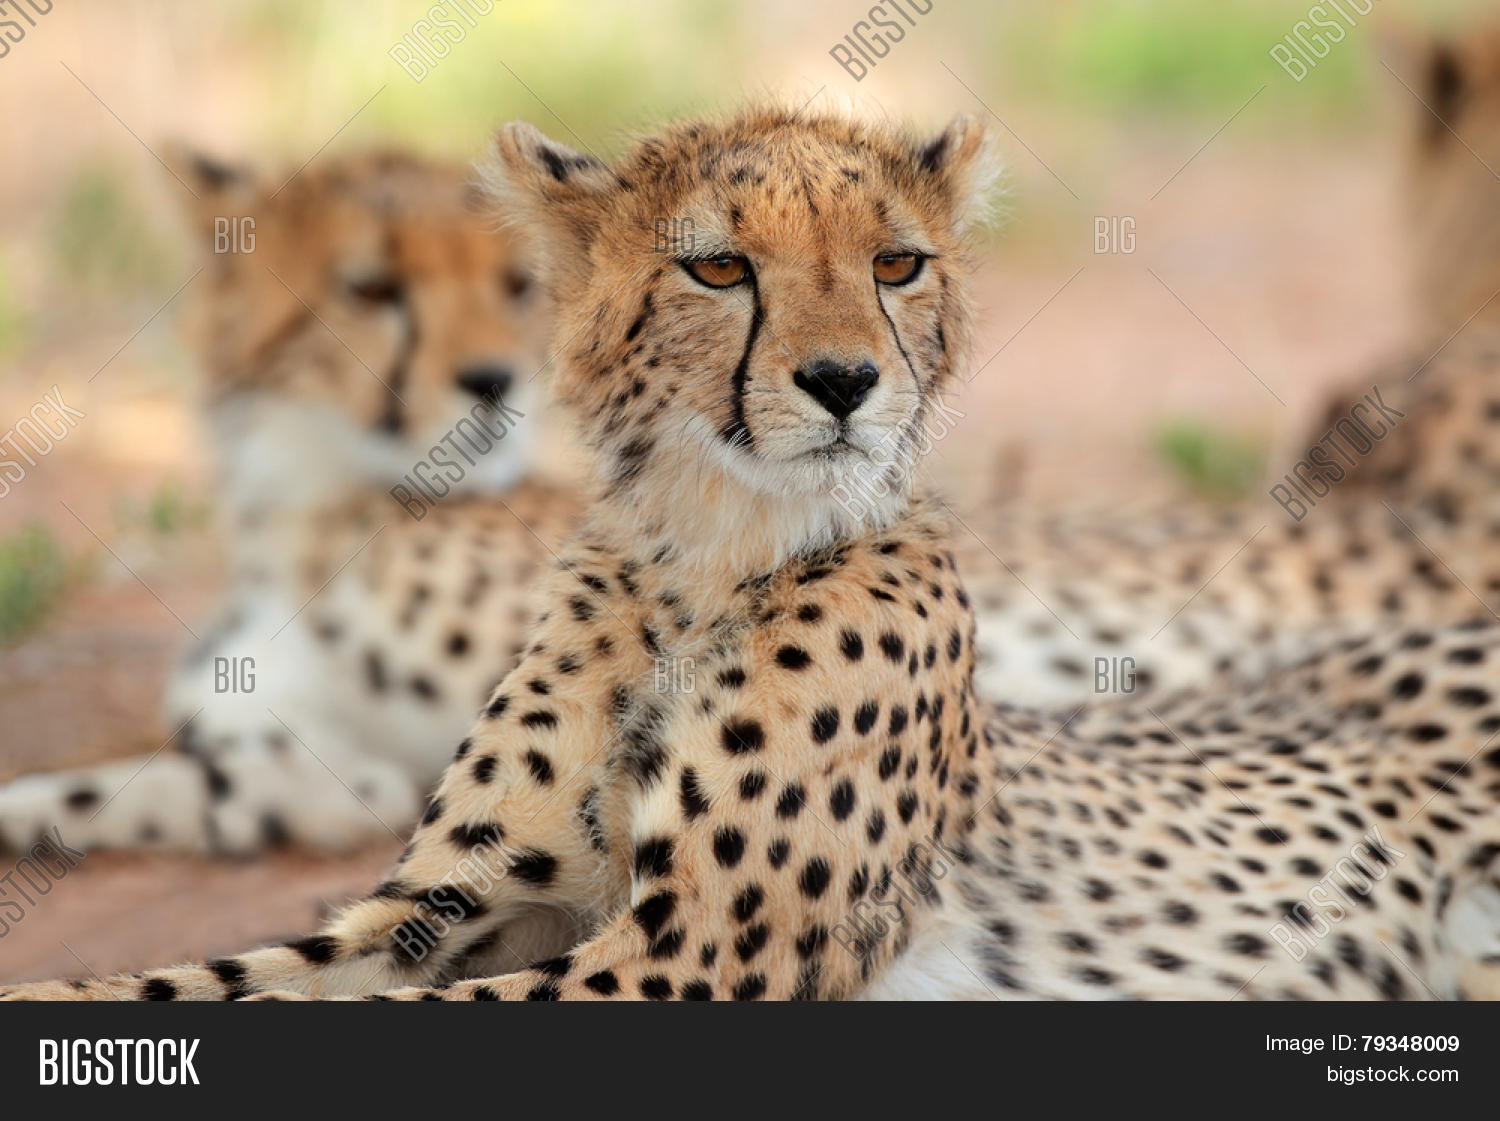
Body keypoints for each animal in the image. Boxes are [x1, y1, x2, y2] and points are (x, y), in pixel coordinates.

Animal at [0, 148, 579, 856]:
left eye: (518, 285)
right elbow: (181, 786)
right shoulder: (358, 773)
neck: (290, 523)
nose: (495, 379)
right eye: (371, 289)